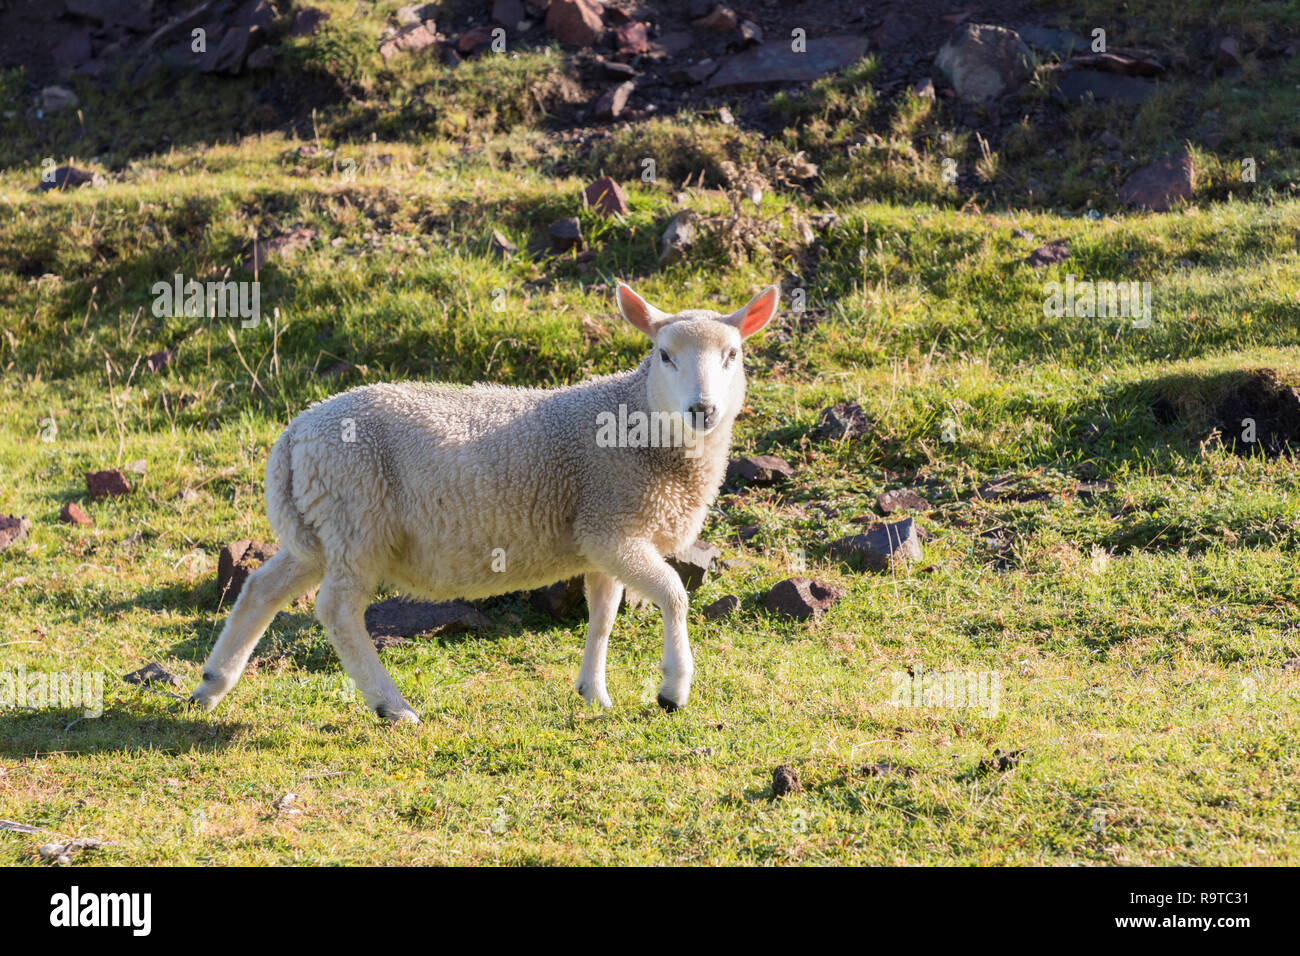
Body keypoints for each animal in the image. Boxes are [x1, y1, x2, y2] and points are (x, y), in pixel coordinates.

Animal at [191, 282, 779, 723]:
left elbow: (603, 614)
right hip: (357, 517)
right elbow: (675, 595)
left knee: (261, 587)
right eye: (664, 355)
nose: (703, 409)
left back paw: (212, 683)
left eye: (733, 355)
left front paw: (593, 691)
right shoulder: (612, 524)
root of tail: (295, 433)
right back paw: (391, 705)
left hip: (322, 527)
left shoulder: (600, 531)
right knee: (337, 609)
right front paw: (673, 690)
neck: (641, 427)